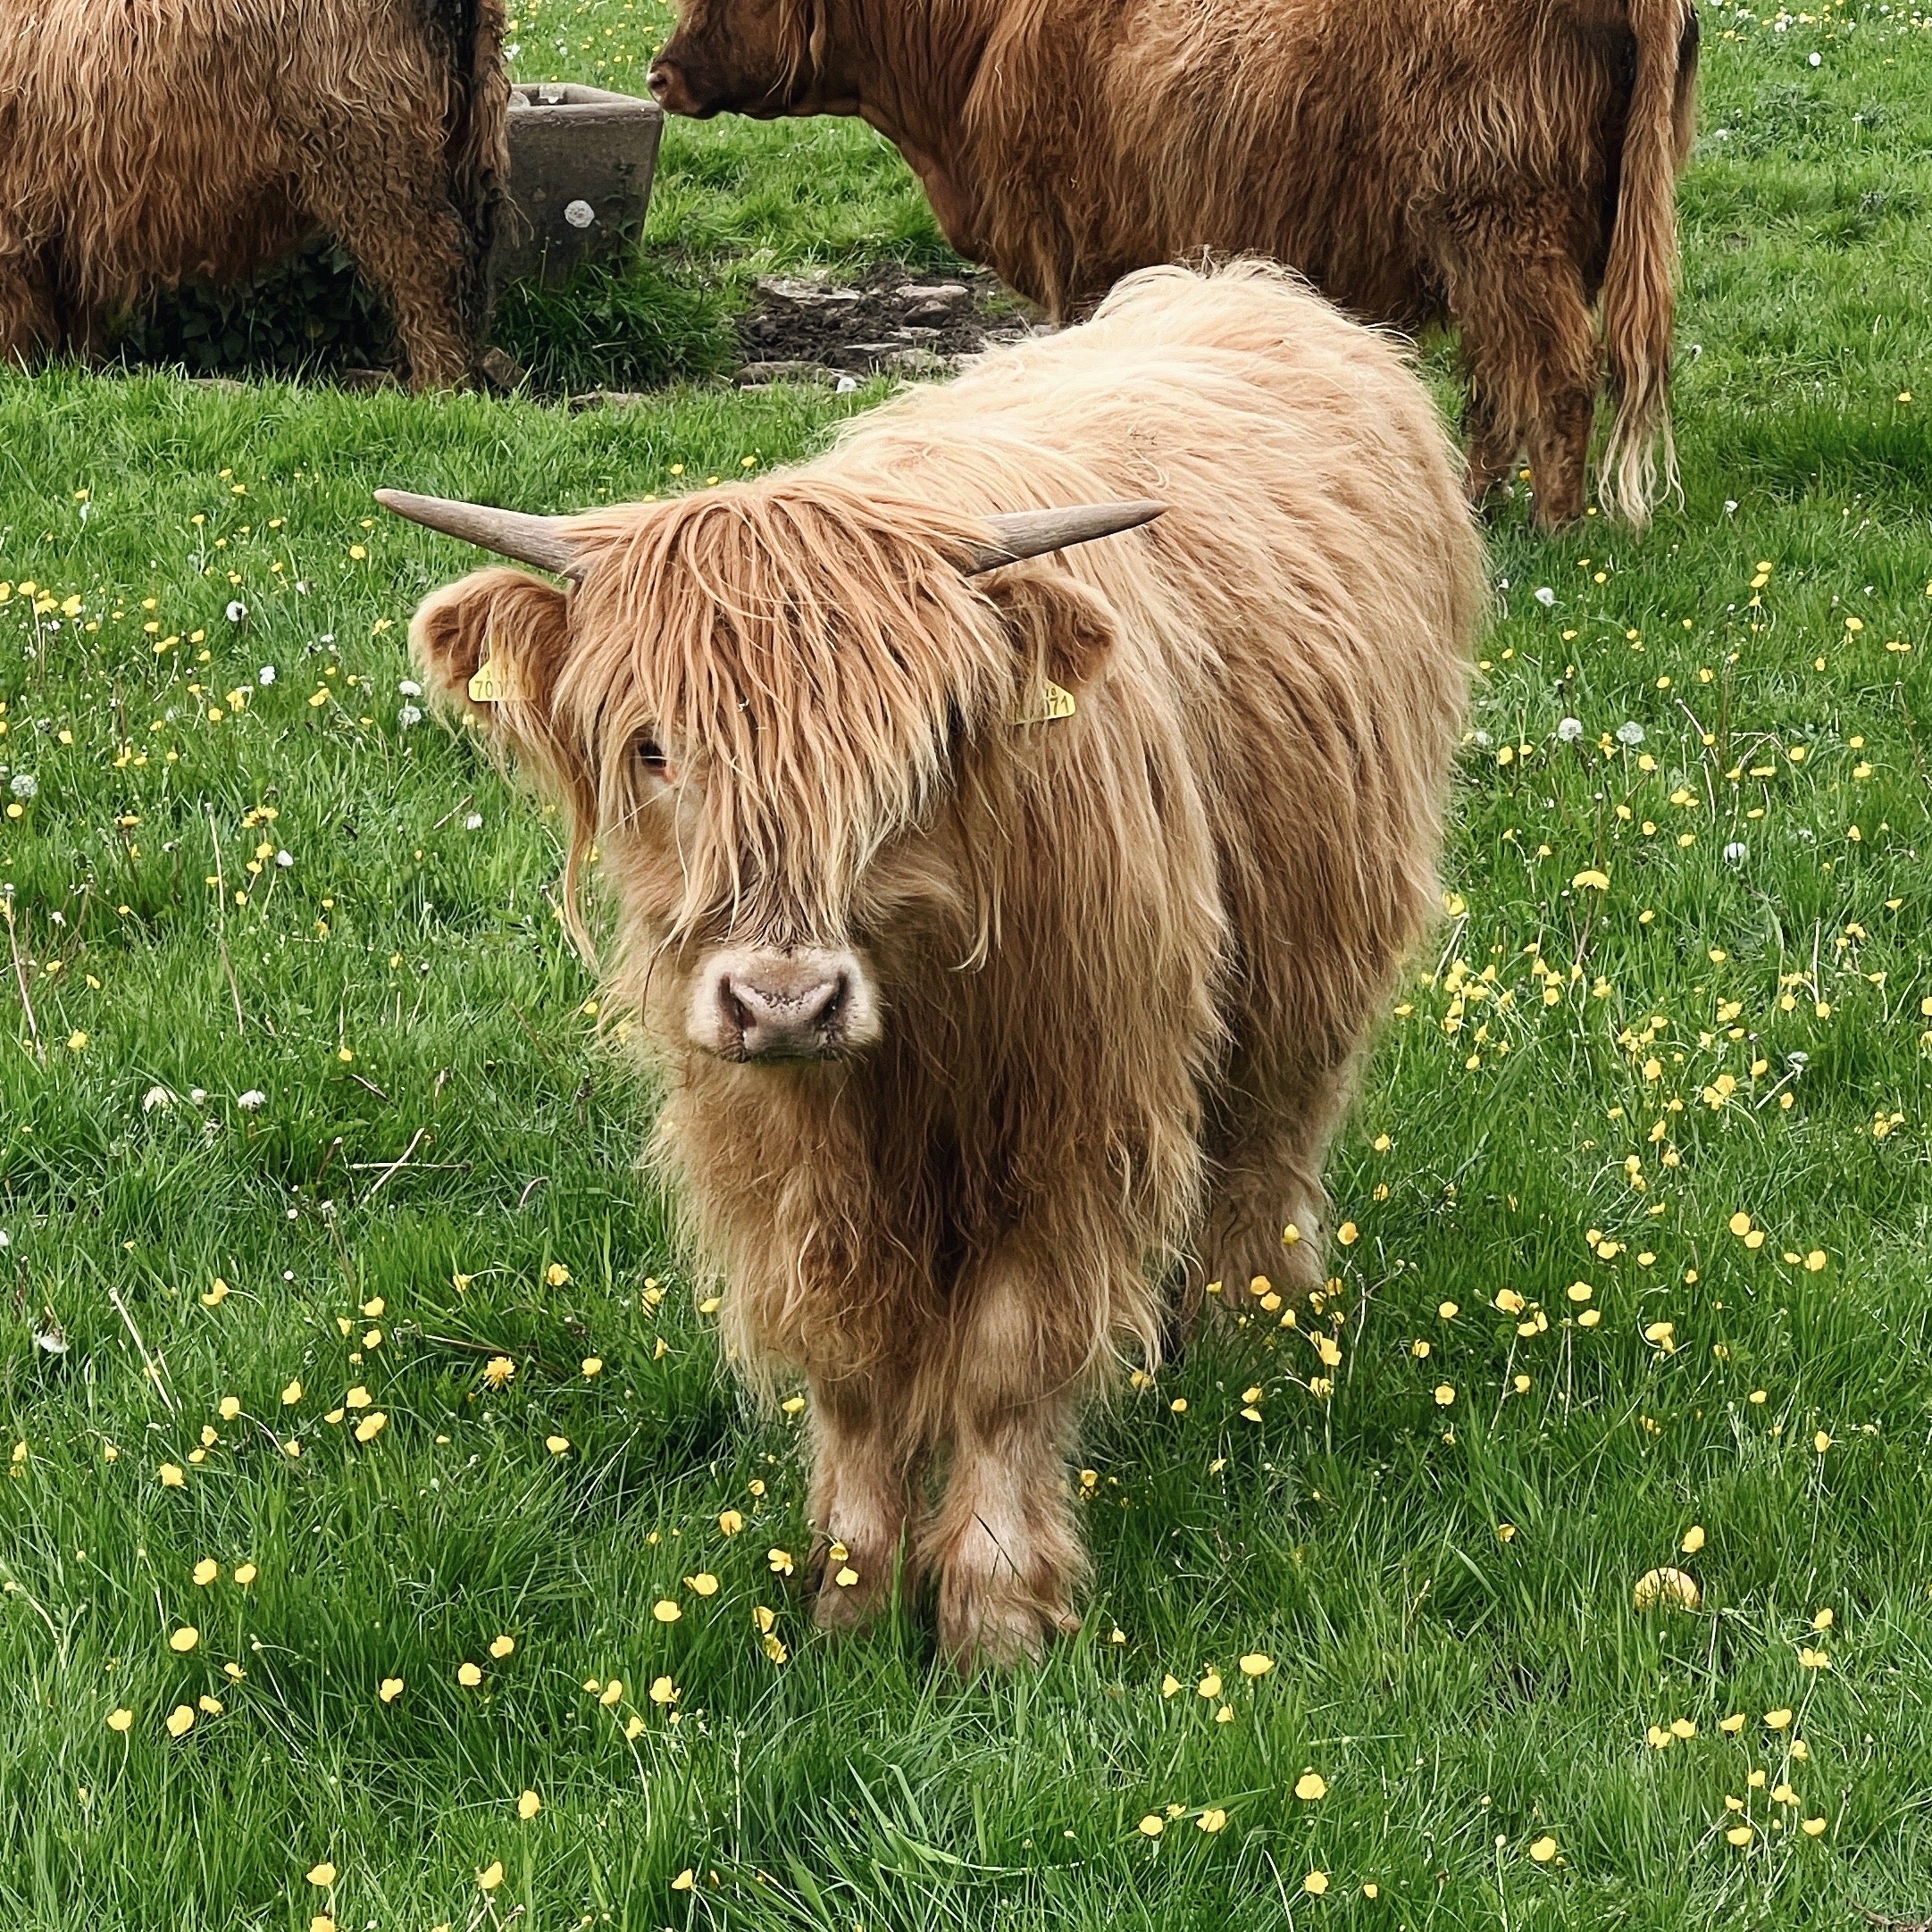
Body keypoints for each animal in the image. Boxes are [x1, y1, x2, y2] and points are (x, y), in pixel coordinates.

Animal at [388, 263, 1482, 1666]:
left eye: (915, 747)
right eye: (652, 746)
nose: (784, 999)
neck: (908, 1038)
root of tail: (1242, 284)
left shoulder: (1075, 1114)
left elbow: (1009, 1361)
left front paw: (995, 1612)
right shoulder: (775, 1142)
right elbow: (849, 1367)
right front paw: (849, 1600)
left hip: (1316, 954)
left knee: (1265, 1146)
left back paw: (1248, 1339)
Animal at [647, 0, 1699, 531]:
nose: (659, 74)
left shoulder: (1078, 256)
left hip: (1500, 224)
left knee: (1552, 378)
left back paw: (1557, 536)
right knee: (1499, 383)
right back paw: (1468, 510)